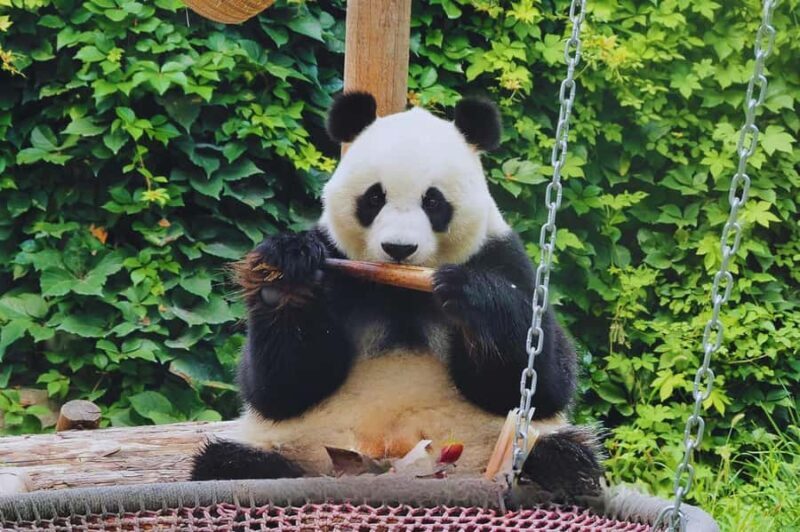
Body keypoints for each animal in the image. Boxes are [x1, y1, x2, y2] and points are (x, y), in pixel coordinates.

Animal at [191, 92, 603, 496]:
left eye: (433, 201)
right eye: (374, 198)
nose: (399, 248)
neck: (399, 290)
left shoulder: (503, 256)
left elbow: (544, 381)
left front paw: (469, 294)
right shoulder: (336, 256)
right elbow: (279, 389)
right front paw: (287, 277)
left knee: (562, 449)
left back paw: (564, 474)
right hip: (297, 445)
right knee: (227, 462)